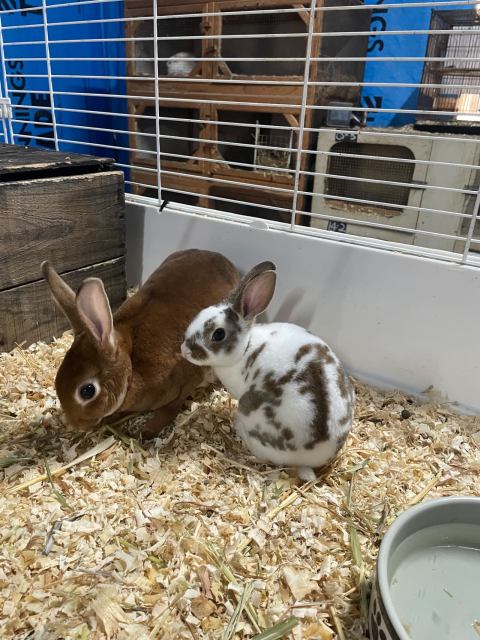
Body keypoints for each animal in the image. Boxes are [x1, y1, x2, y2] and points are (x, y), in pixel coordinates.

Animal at [42, 249, 240, 437]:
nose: (76, 425)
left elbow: (169, 410)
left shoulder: (185, 383)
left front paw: (147, 432)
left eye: (87, 391)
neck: (131, 365)